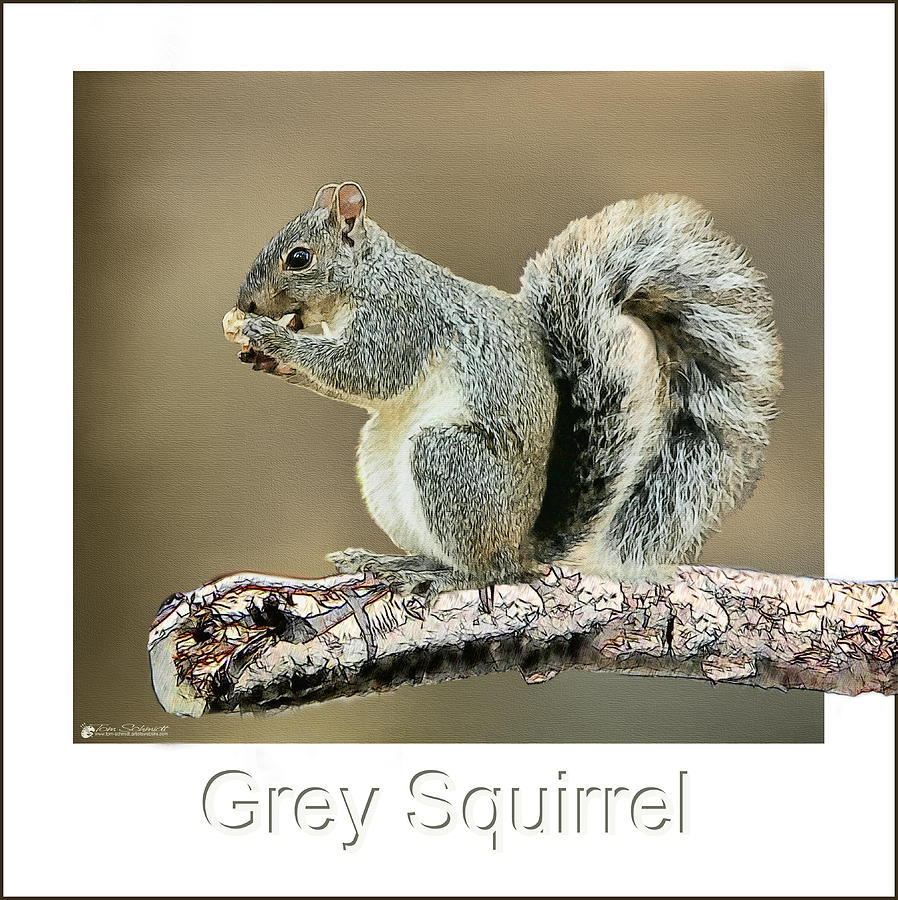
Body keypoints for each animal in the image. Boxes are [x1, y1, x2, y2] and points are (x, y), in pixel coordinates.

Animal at [236, 182, 782, 598]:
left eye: (298, 258)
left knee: (487, 570)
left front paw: (273, 339)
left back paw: (444, 575)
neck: (367, 275)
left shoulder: (403, 317)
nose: (246, 304)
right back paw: (392, 562)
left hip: (447, 458)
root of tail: (522, 545)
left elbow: (368, 372)